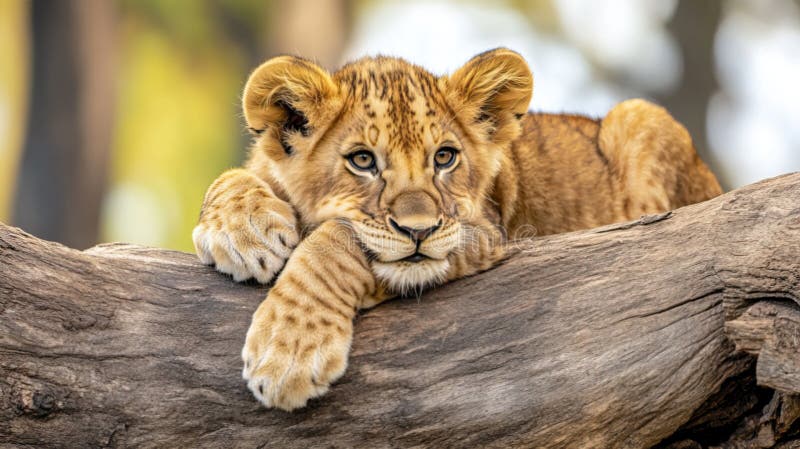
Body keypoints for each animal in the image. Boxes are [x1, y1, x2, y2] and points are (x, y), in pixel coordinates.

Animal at [192, 48, 722, 411]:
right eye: (362, 161)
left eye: (445, 157)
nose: (419, 230)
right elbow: (232, 176)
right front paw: (246, 231)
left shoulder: (482, 231)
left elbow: (342, 238)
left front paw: (290, 352)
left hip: (639, 116)